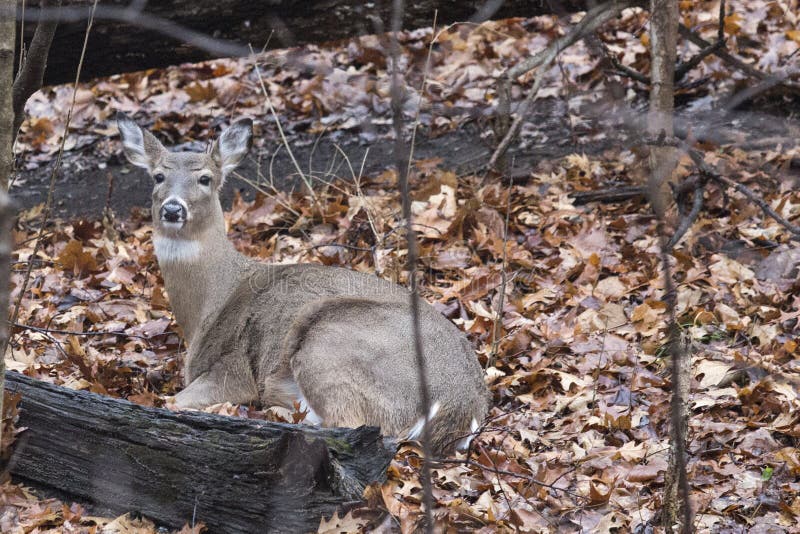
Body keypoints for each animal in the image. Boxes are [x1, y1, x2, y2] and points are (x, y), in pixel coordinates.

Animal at [116, 113, 490, 453]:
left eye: (205, 178)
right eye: (158, 176)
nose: (173, 209)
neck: (210, 304)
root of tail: (460, 405)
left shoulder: (234, 369)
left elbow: (173, 401)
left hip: (330, 341)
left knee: (350, 424)